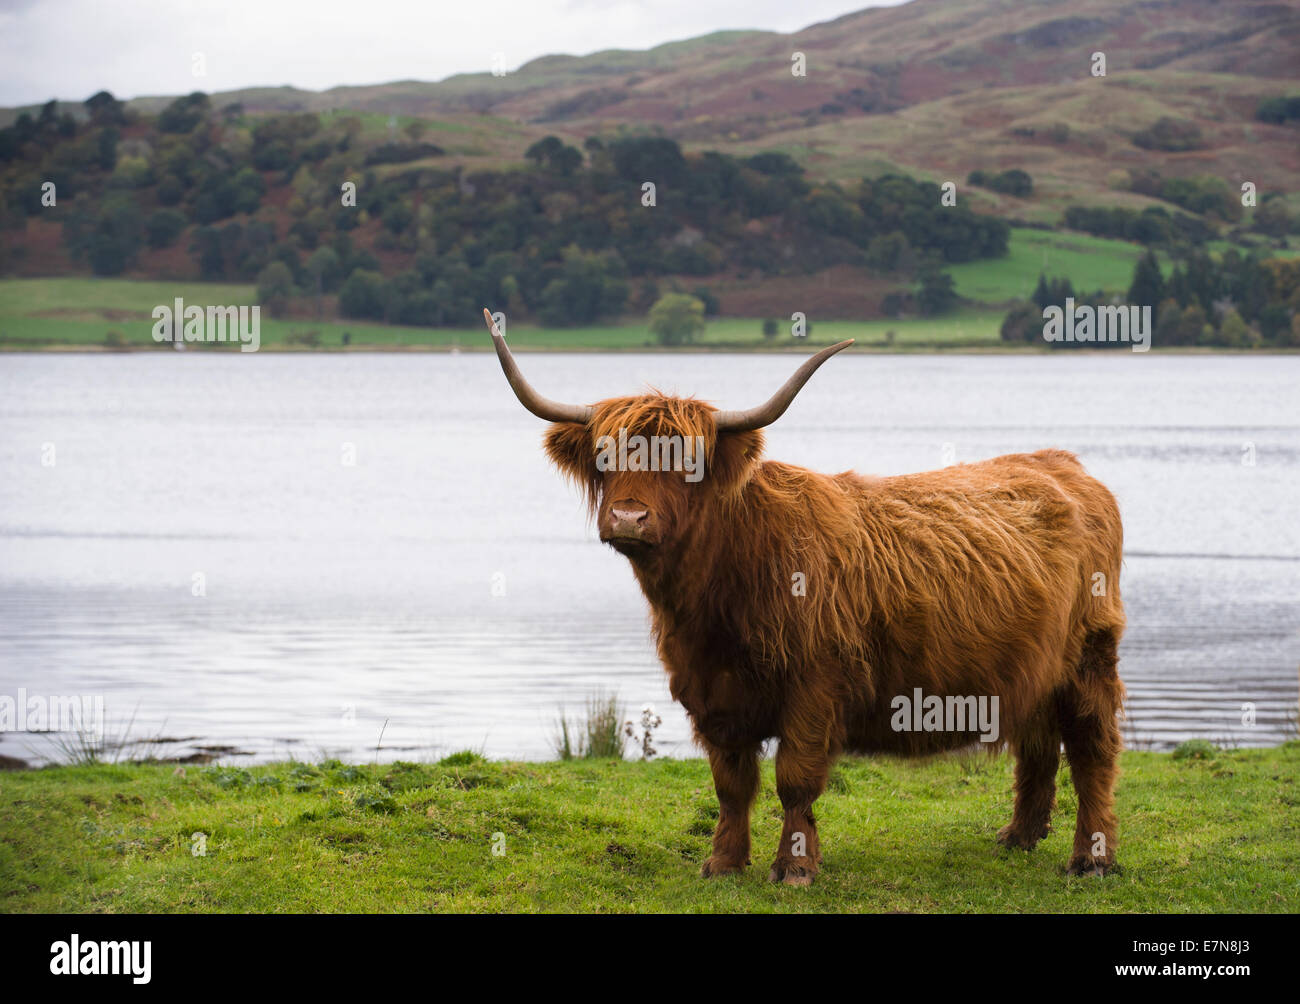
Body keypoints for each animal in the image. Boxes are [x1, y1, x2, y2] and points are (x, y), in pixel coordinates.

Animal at [481, 308, 1126, 885]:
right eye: (605, 457)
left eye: (689, 463)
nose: (629, 518)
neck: (715, 602)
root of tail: (1062, 464)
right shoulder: (709, 692)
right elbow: (731, 783)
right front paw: (723, 863)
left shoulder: (816, 685)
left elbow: (794, 779)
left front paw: (794, 868)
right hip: (1036, 665)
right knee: (1039, 744)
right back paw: (1019, 836)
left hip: (1091, 656)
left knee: (1093, 748)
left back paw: (1091, 858)